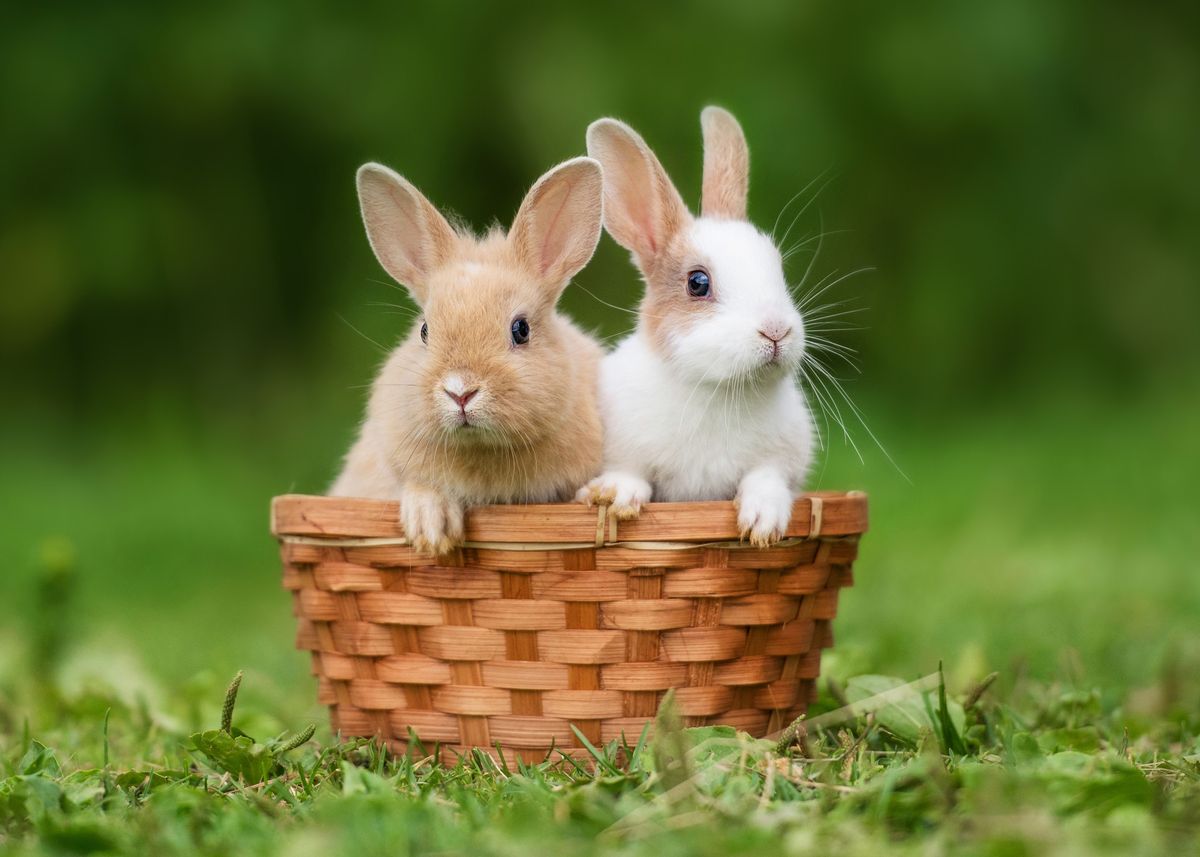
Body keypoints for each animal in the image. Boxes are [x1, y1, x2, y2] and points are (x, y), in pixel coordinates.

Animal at [576, 107, 816, 547]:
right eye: (698, 282)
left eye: (778, 268)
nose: (776, 331)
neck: (718, 389)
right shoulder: (623, 449)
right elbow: (632, 474)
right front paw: (614, 496)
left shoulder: (781, 459)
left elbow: (766, 479)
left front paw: (763, 524)